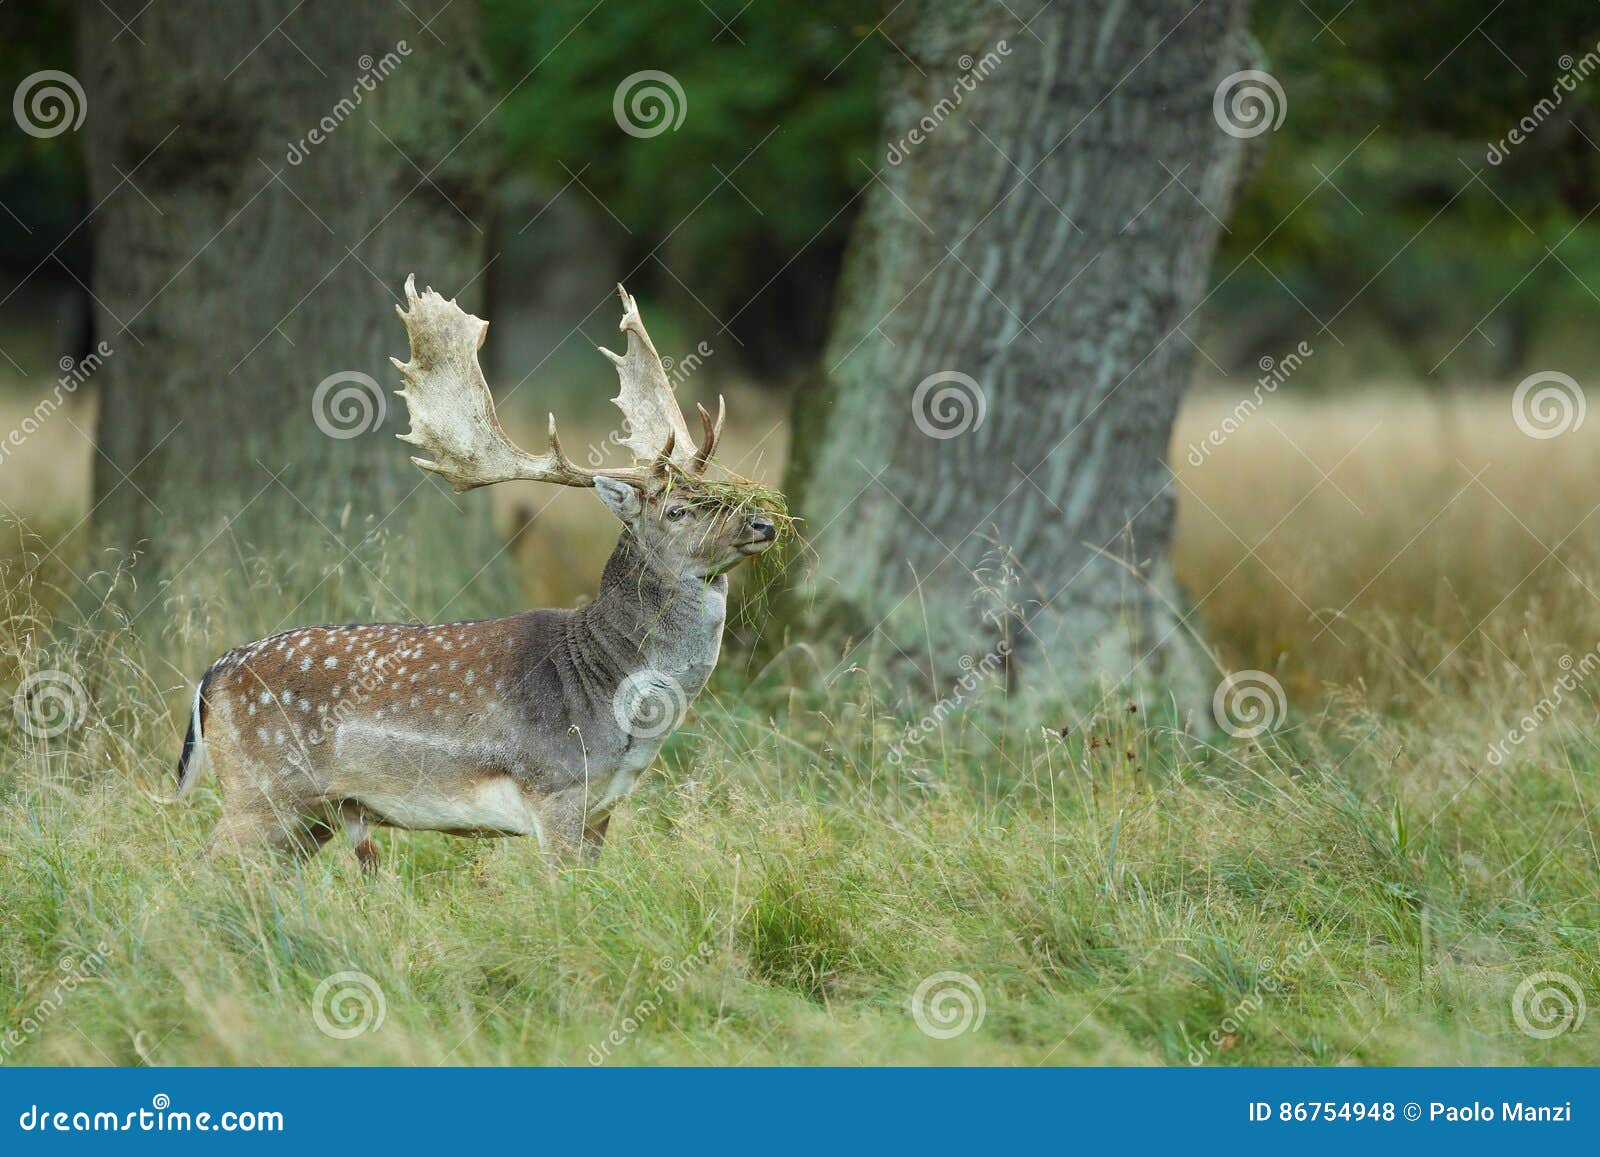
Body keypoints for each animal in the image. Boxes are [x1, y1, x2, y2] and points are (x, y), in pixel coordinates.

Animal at [174, 276, 780, 868]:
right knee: (202, 865)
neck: (614, 696)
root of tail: (209, 678)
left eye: (714, 489)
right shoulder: (555, 788)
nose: (763, 522)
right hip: (262, 790)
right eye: (677, 510)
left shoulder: (605, 807)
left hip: (313, 814)